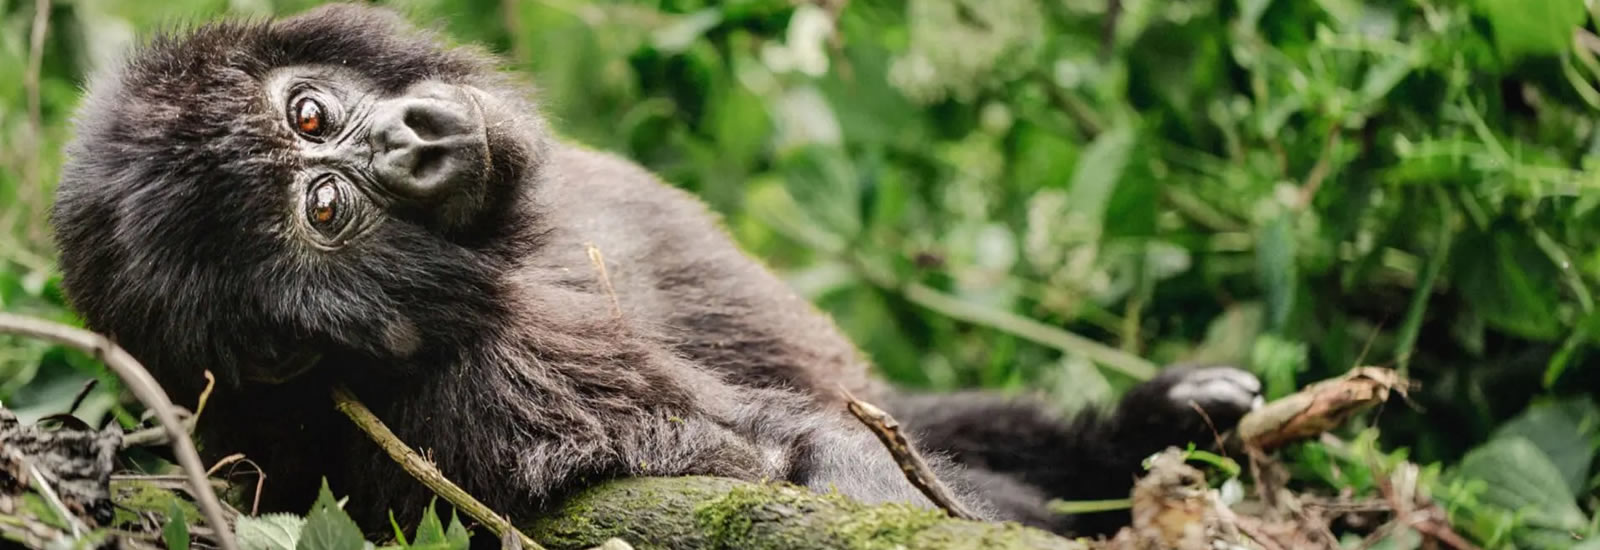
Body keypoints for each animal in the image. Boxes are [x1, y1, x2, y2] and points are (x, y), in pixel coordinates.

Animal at [49, 3, 1261, 541]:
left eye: (308, 113)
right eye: (325, 209)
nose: (411, 143)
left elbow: (878, 411)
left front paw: (1147, 423)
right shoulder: (468, 394)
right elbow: (778, 465)